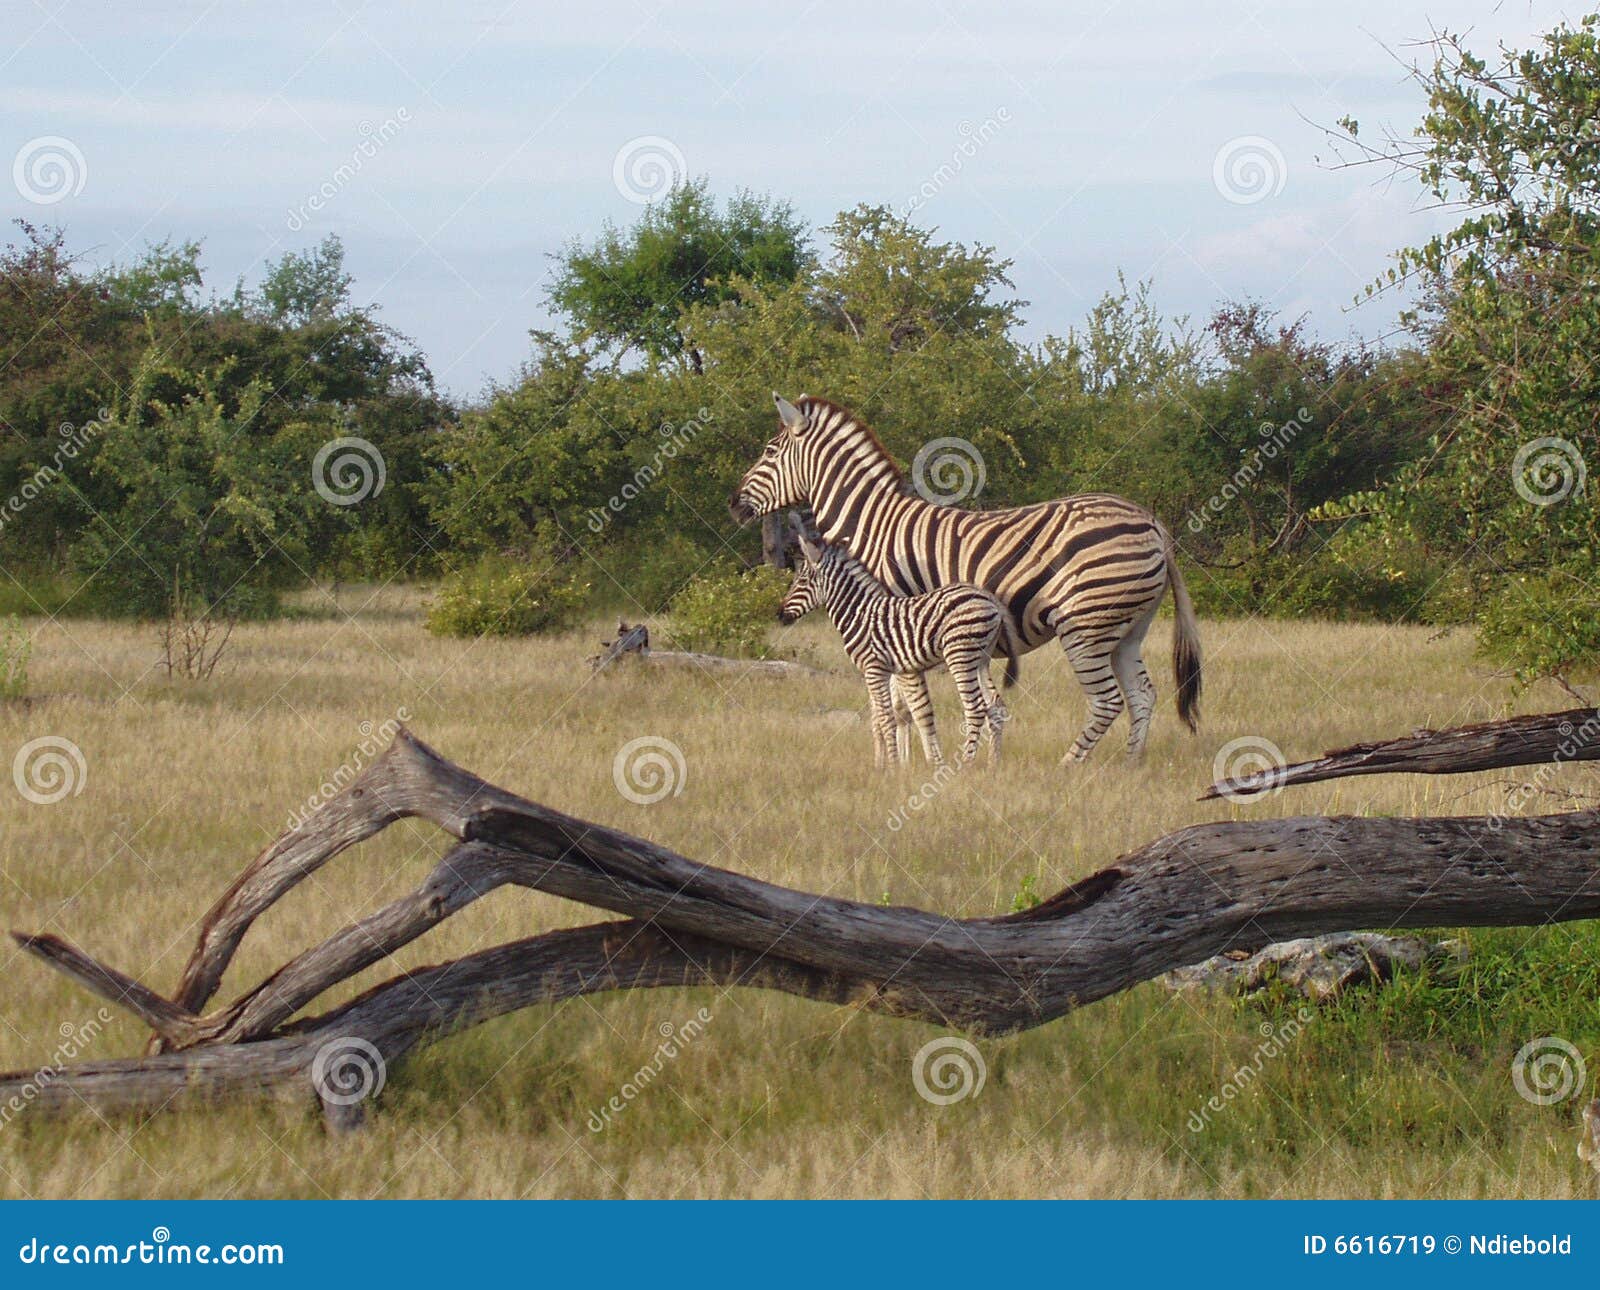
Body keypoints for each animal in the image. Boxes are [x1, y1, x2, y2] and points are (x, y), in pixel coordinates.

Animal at [778, 530, 1019, 767]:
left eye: (801, 581)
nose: (779, 615)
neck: (858, 612)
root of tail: (989, 598)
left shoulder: (875, 669)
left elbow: (886, 718)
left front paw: (892, 766)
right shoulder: (880, 671)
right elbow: (879, 718)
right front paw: (880, 765)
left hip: (960, 655)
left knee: (975, 709)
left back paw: (965, 764)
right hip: (981, 660)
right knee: (995, 706)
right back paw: (993, 765)